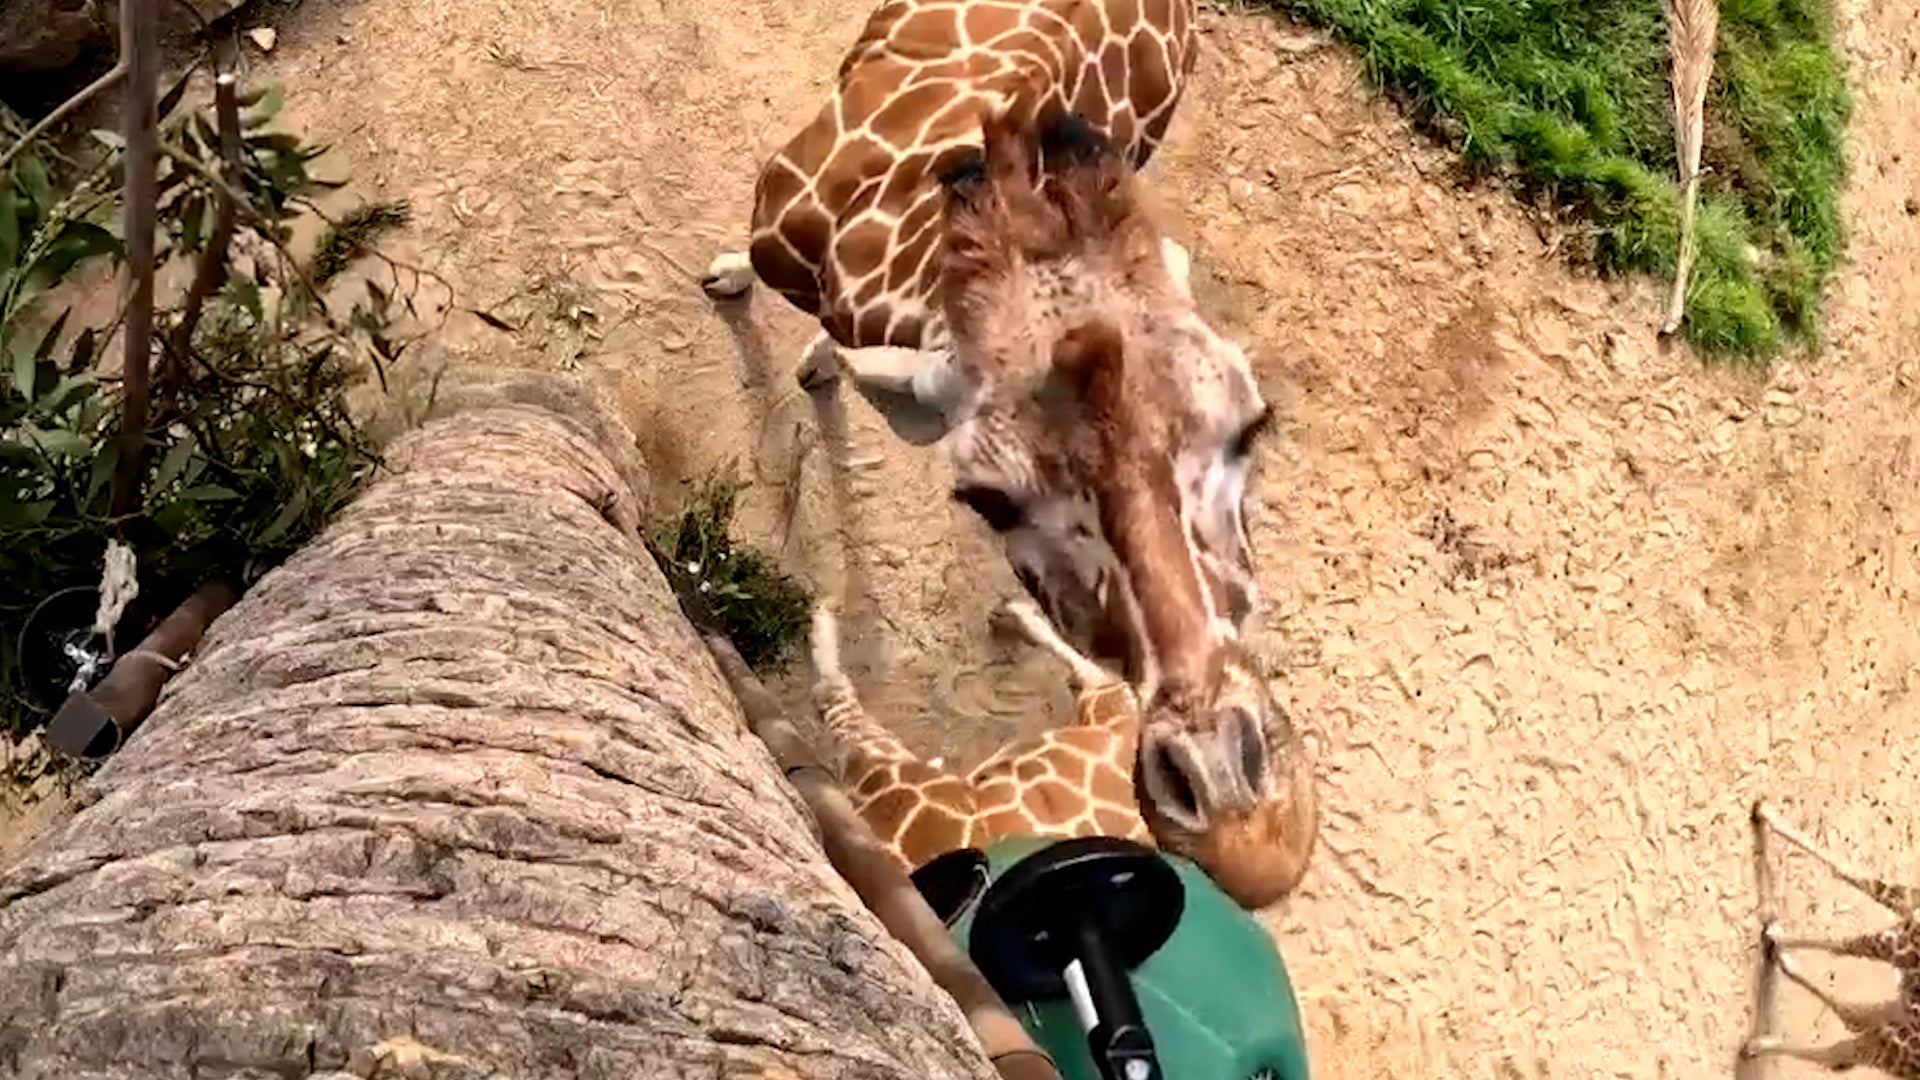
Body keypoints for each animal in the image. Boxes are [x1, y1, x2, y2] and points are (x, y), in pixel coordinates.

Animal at [1744, 799, 1920, 1077]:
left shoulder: (1898, 942)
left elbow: (1843, 876)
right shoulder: (1905, 915)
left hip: (1898, 1041)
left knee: (1845, 1037)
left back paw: (1754, 1045)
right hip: (1898, 1024)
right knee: (1847, 1033)